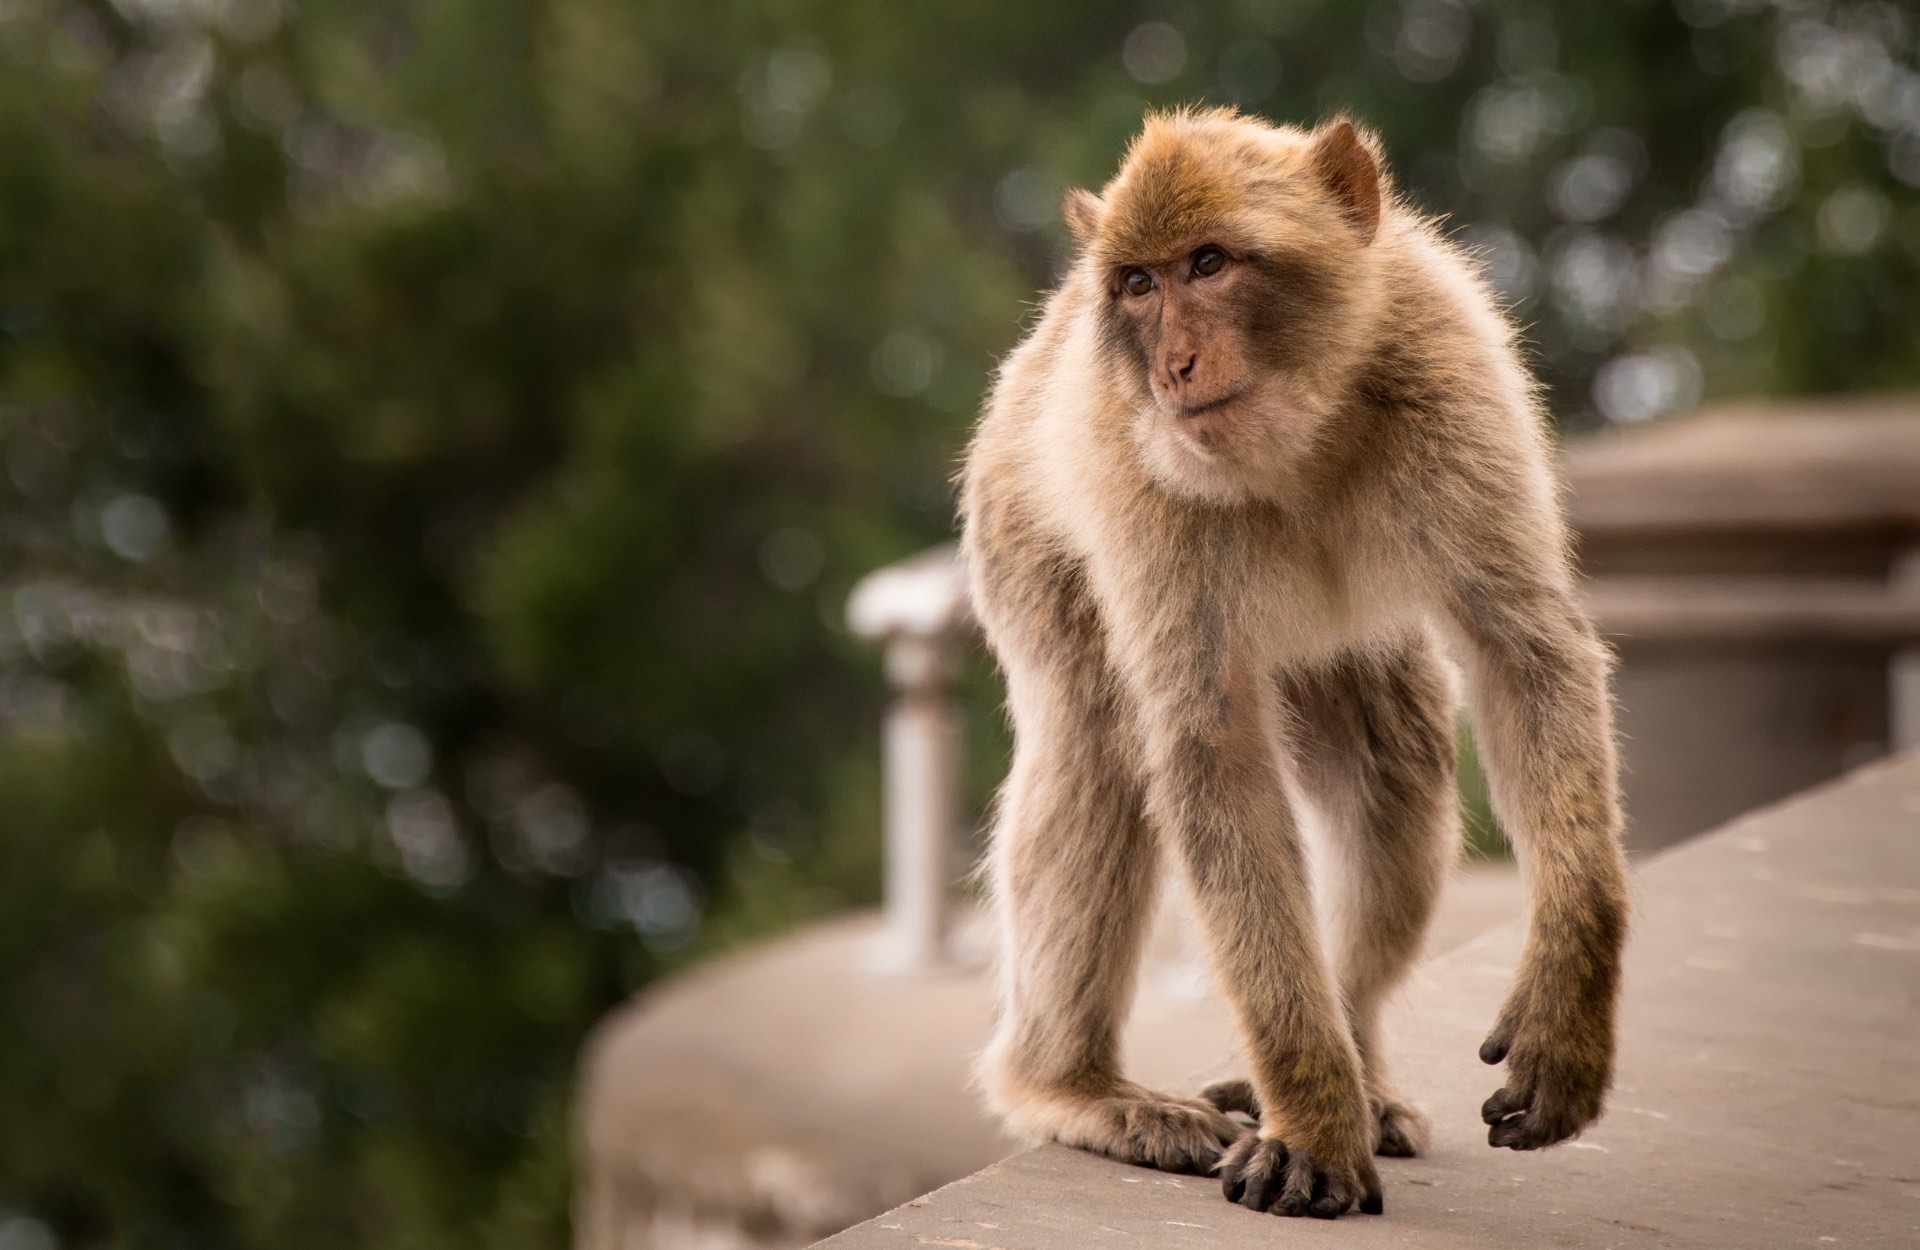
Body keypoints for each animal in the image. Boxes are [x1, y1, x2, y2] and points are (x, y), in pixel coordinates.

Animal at [958, 108, 1630, 1221]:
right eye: (1137, 284)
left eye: (1209, 263)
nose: (1174, 365)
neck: (1292, 438)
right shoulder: (1140, 480)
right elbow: (1213, 750)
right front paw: (1312, 1119)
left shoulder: (1449, 369)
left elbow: (1523, 651)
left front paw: (1568, 1005)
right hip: (1019, 521)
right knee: (1097, 743)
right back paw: (1075, 1086)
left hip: (1340, 645)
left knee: (1396, 758)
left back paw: (1359, 1054)